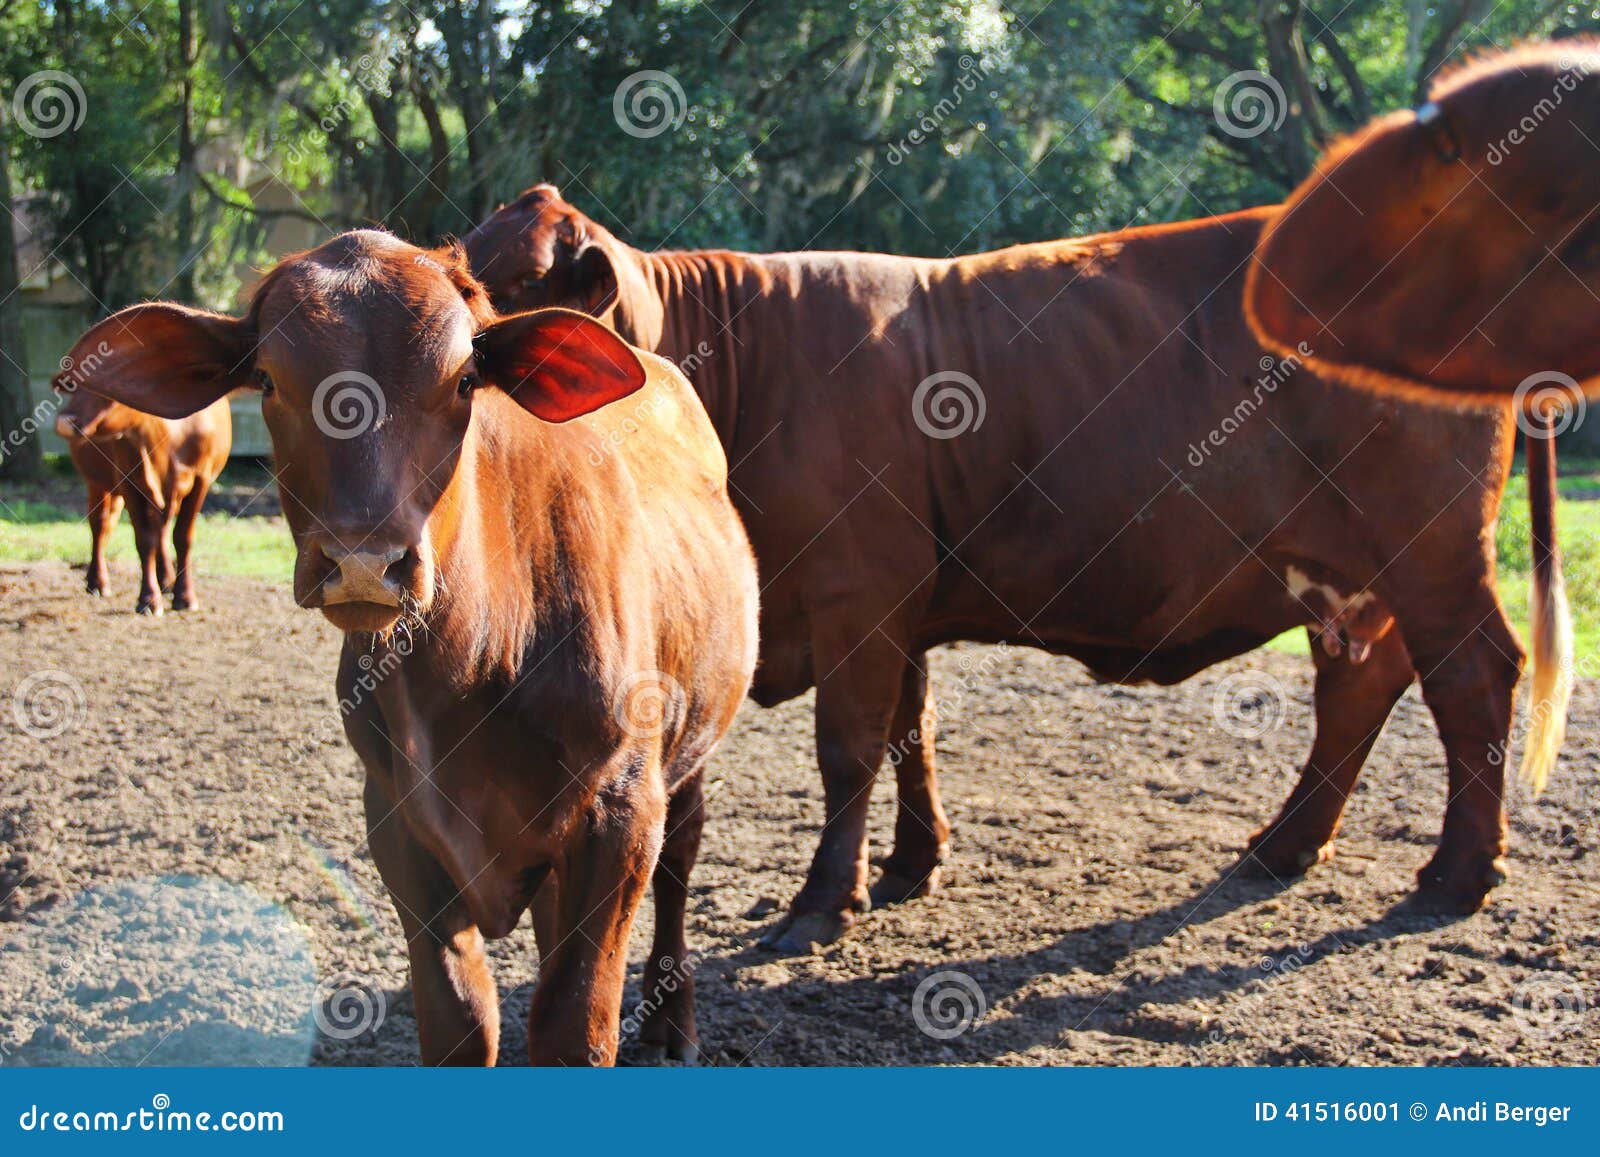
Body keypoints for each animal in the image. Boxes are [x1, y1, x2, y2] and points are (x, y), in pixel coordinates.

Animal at [51, 385, 231, 615]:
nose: (64, 422)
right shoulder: (129, 482)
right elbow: (144, 540)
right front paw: (148, 599)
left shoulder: (201, 480)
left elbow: (182, 537)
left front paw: (184, 596)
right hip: (98, 484)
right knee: (101, 525)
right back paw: (97, 581)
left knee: (161, 528)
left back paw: (166, 580)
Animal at [464, 180, 1564, 951]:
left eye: (507, 298)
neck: (744, 368)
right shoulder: (899, 605)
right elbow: (912, 732)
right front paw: (913, 864)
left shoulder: (859, 594)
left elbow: (851, 747)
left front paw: (823, 902)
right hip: (1347, 568)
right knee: (1360, 684)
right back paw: (1284, 845)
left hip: (1430, 551)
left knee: (1471, 676)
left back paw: (1457, 872)